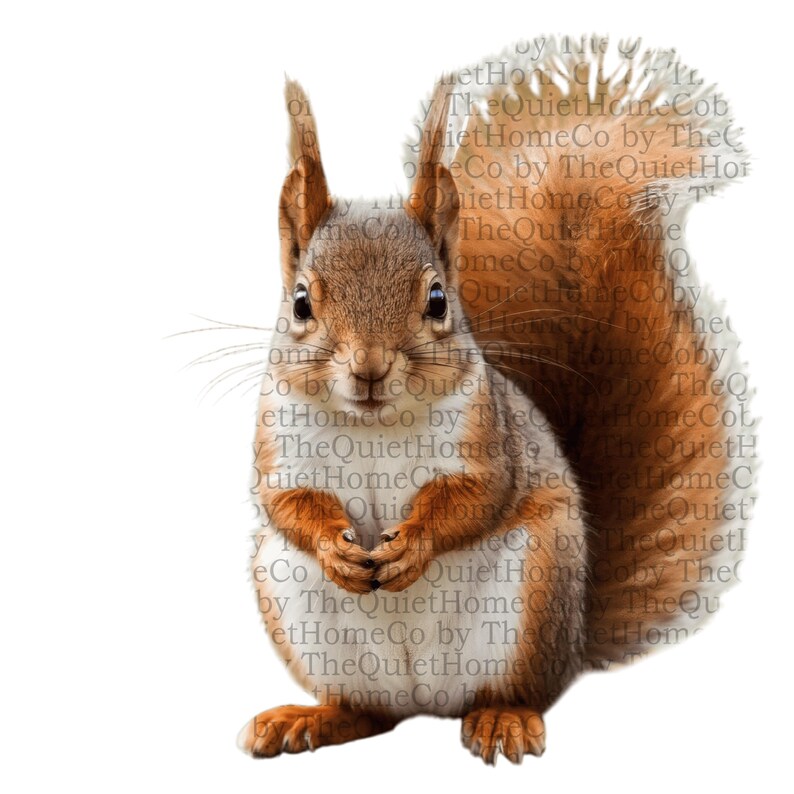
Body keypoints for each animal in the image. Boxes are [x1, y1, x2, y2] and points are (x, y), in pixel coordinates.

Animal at [237, 37, 755, 764]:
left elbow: (476, 497)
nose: (369, 370)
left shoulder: (487, 437)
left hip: (531, 592)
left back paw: (502, 719)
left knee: (517, 690)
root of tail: (426, 702)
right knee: (368, 711)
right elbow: (285, 504)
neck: (372, 425)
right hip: (299, 605)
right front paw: (337, 547)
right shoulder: (280, 441)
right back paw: (309, 719)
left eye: (437, 300)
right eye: (302, 302)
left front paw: (412, 544)